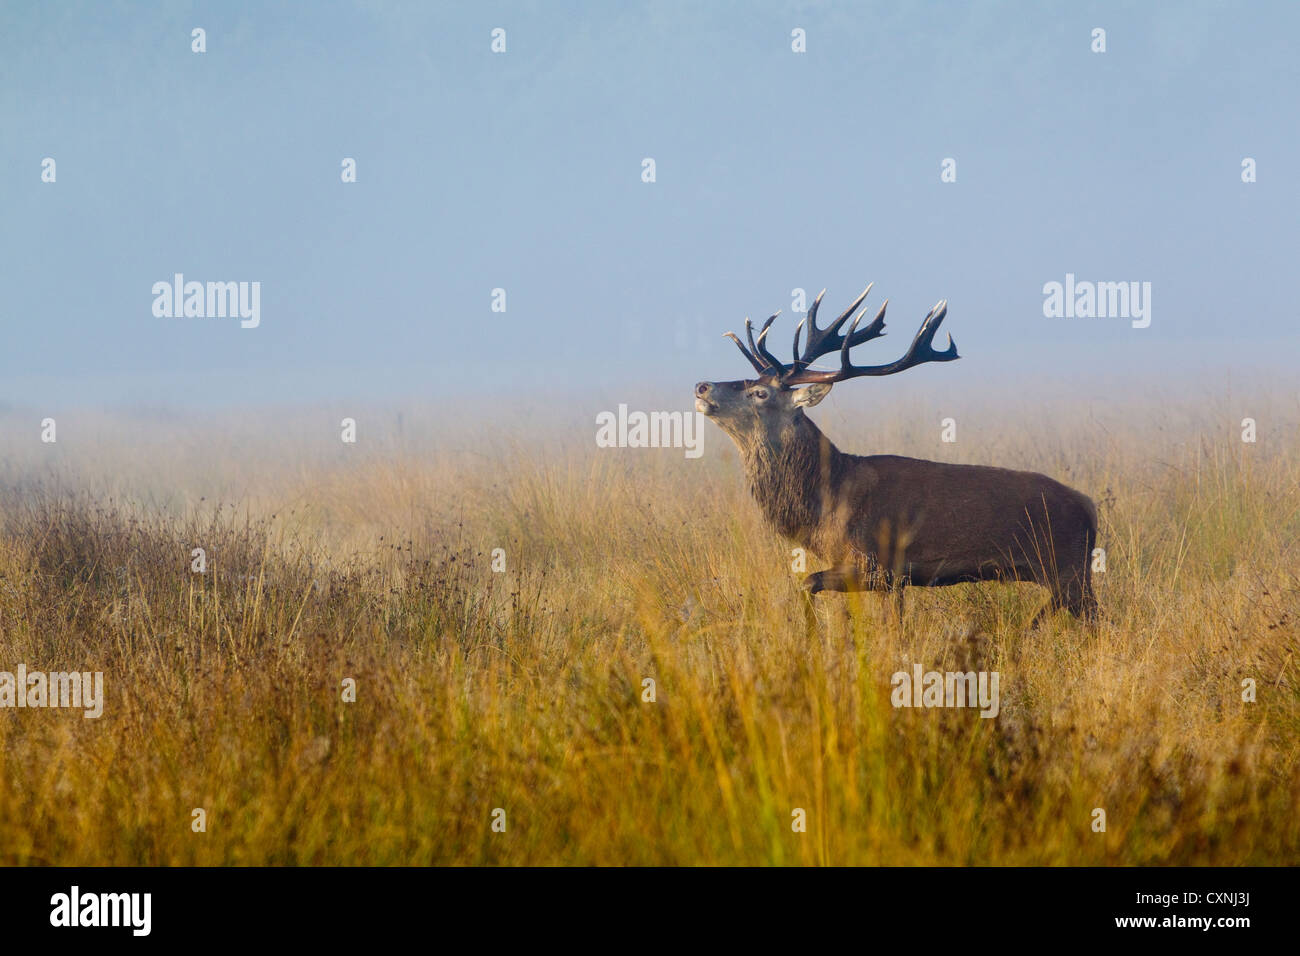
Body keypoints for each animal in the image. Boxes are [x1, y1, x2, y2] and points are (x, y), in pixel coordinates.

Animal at [694, 283, 1098, 626]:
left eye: (760, 393)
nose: (701, 386)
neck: (827, 502)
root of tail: (1089, 506)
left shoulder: (879, 564)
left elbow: (810, 583)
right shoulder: (892, 577)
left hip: (1068, 569)